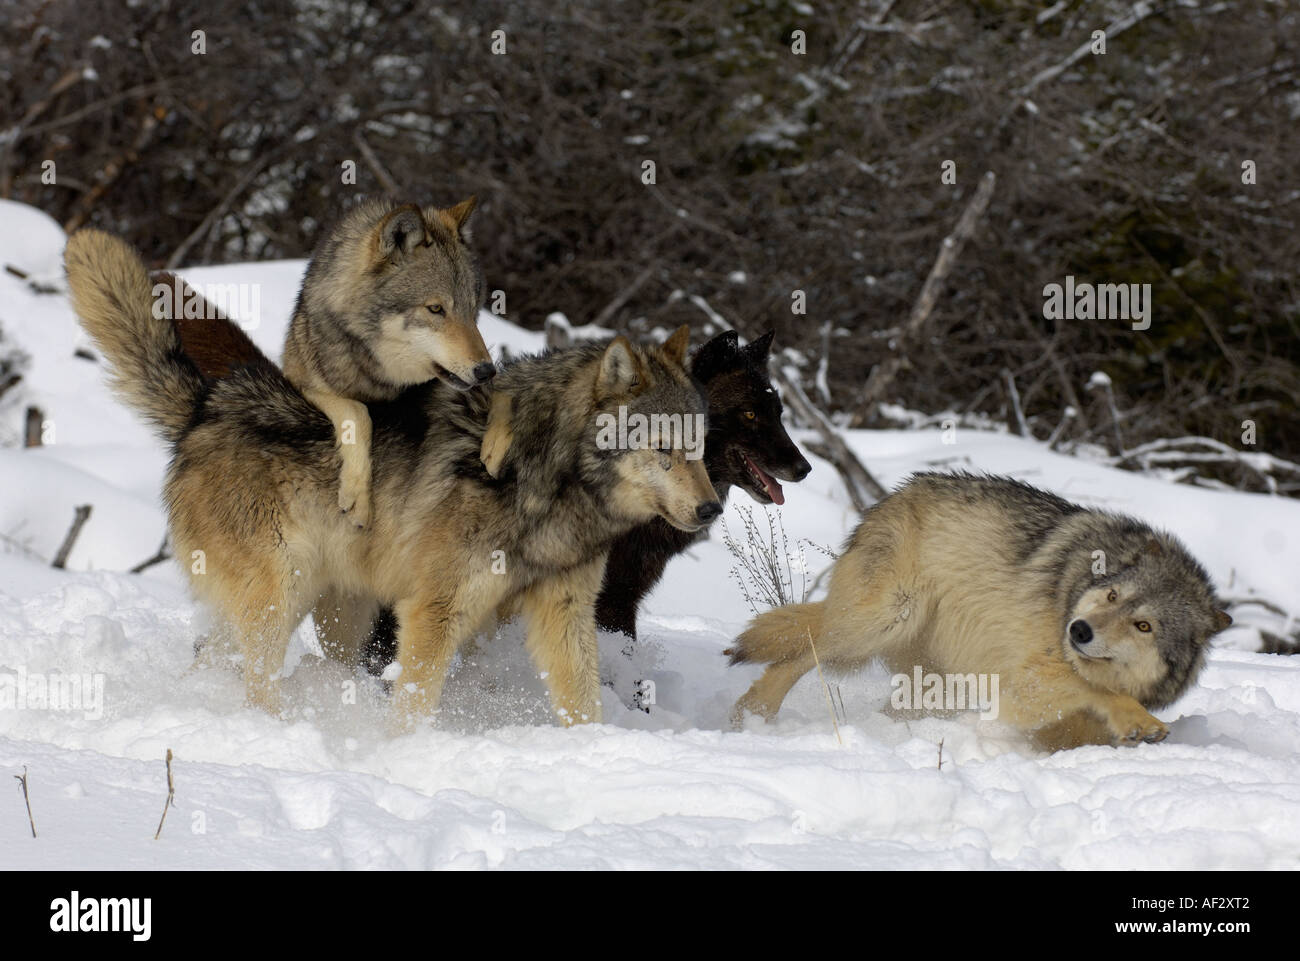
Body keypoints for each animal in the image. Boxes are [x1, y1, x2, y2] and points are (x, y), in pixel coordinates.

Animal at [282, 196, 495, 527]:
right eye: (436, 309)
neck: (378, 378)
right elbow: (357, 413)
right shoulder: (301, 382)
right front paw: (358, 497)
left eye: (473, 311)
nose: (487, 370)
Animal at [727, 473, 1233, 749]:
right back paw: (750, 717)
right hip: (880, 623)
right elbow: (1096, 690)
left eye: (1143, 625)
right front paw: (1139, 722)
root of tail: (895, 493)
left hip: (939, 684)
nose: (1079, 631)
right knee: (801, 652)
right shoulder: (1029, 679)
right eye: (1112, 597)